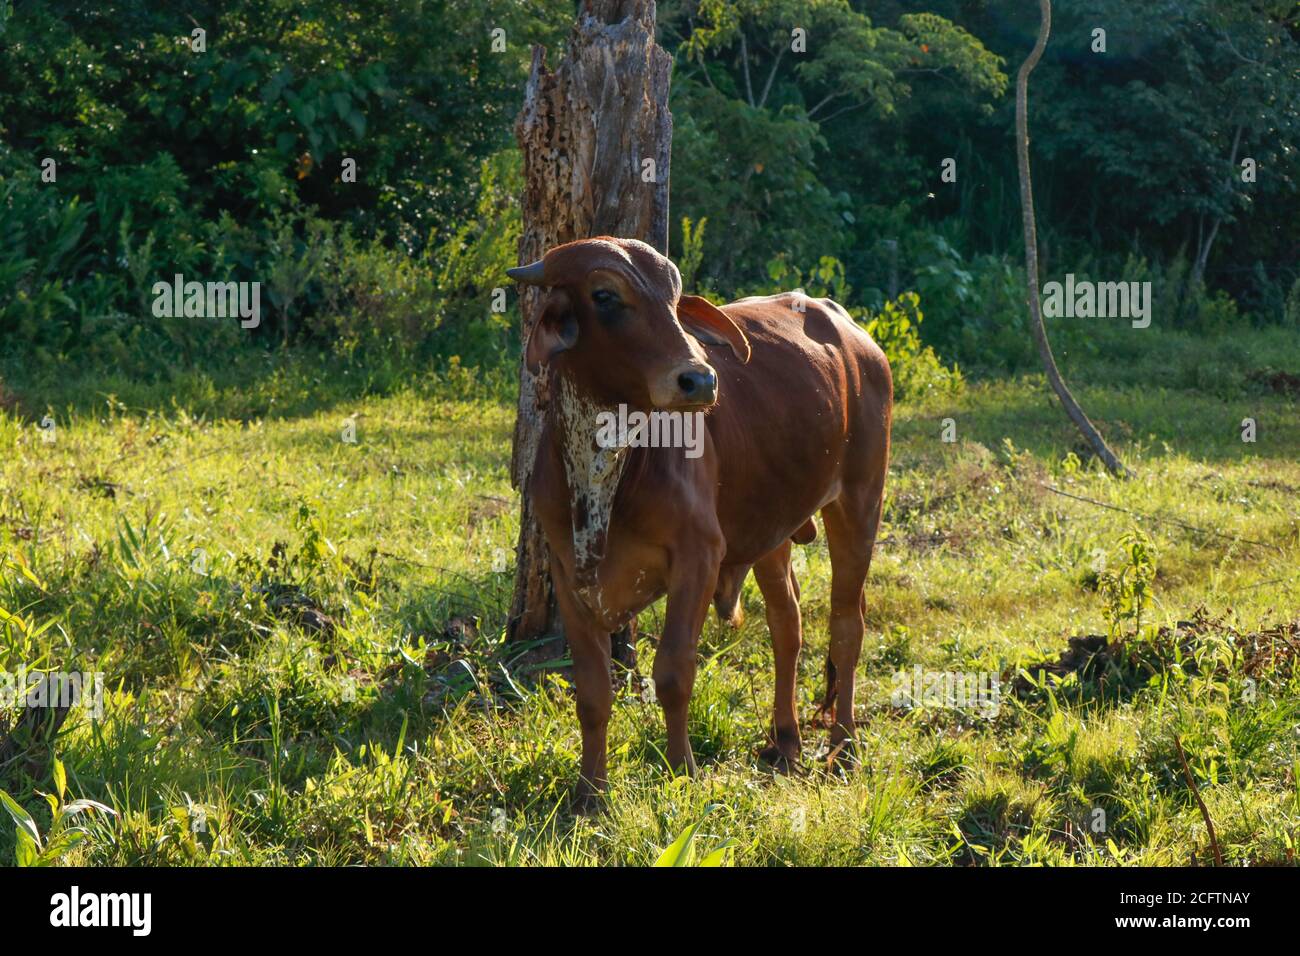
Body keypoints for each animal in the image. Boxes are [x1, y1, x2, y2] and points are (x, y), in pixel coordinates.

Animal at [508, 237, 892, 807]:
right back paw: (785, 739)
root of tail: (852, 331)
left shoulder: (699, 556)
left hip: (859, 502)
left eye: (674, 299)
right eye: (605, 296)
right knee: (787, 623)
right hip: (772, 528)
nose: (699, 379)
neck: (605, 466)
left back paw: (842, 746)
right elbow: (593, 693)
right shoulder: (567, 568)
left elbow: (672, 673)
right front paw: (590, 792)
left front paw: (681, 771)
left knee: (846, 624)